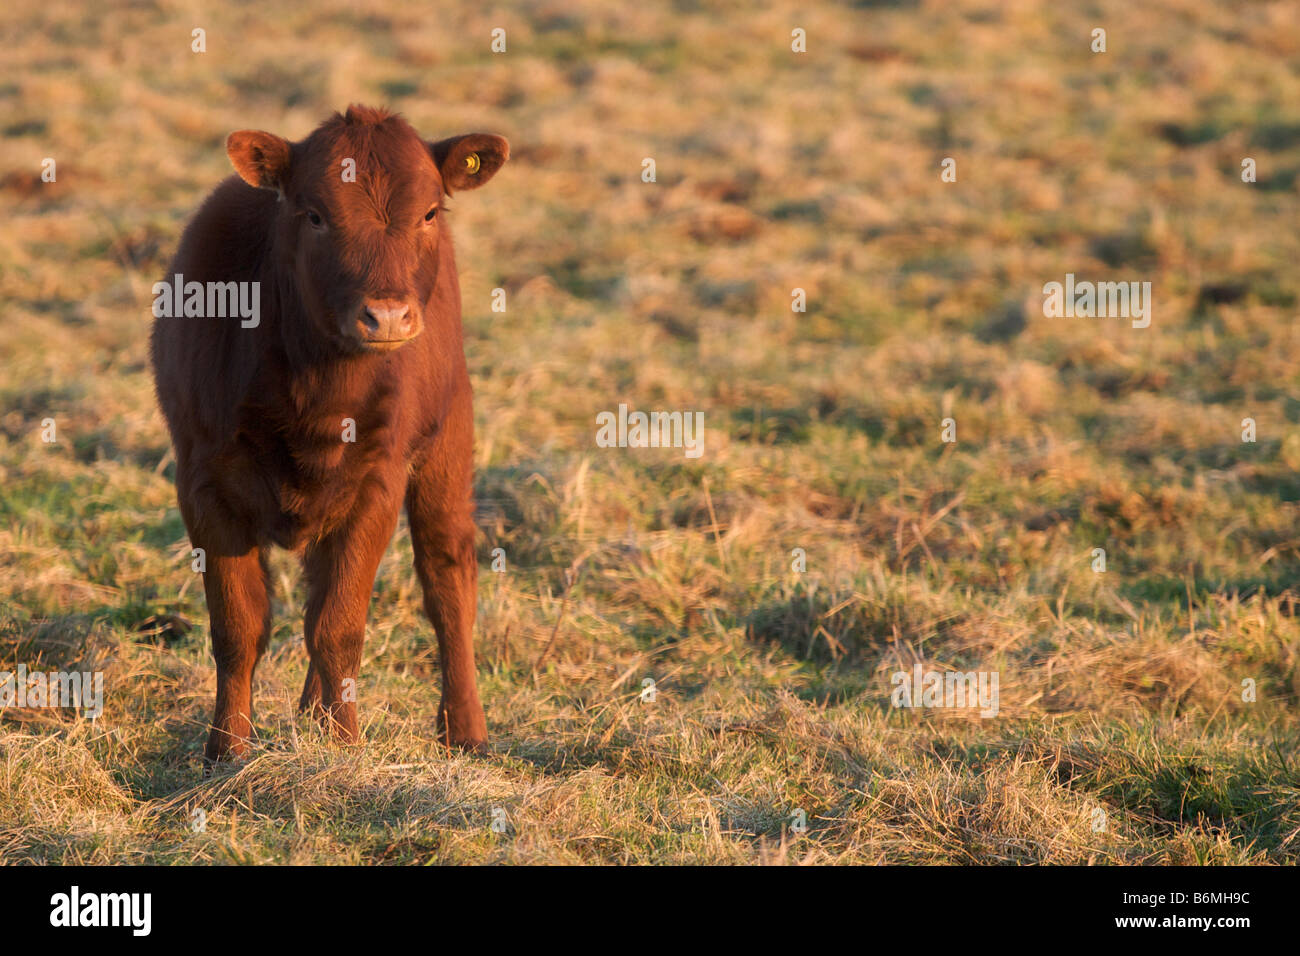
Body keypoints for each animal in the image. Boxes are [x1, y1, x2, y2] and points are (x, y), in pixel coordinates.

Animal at [149, 105, 508, 768]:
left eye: (428, 212)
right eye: (314, 215)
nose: (387, 316)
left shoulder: (378, 483)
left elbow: (340, 627)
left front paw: (345, 750)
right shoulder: (203, 484)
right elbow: (239, 627)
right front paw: (226, 751)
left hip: (448, 442)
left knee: (447, 581)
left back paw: (464, 730)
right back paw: (313, 715)